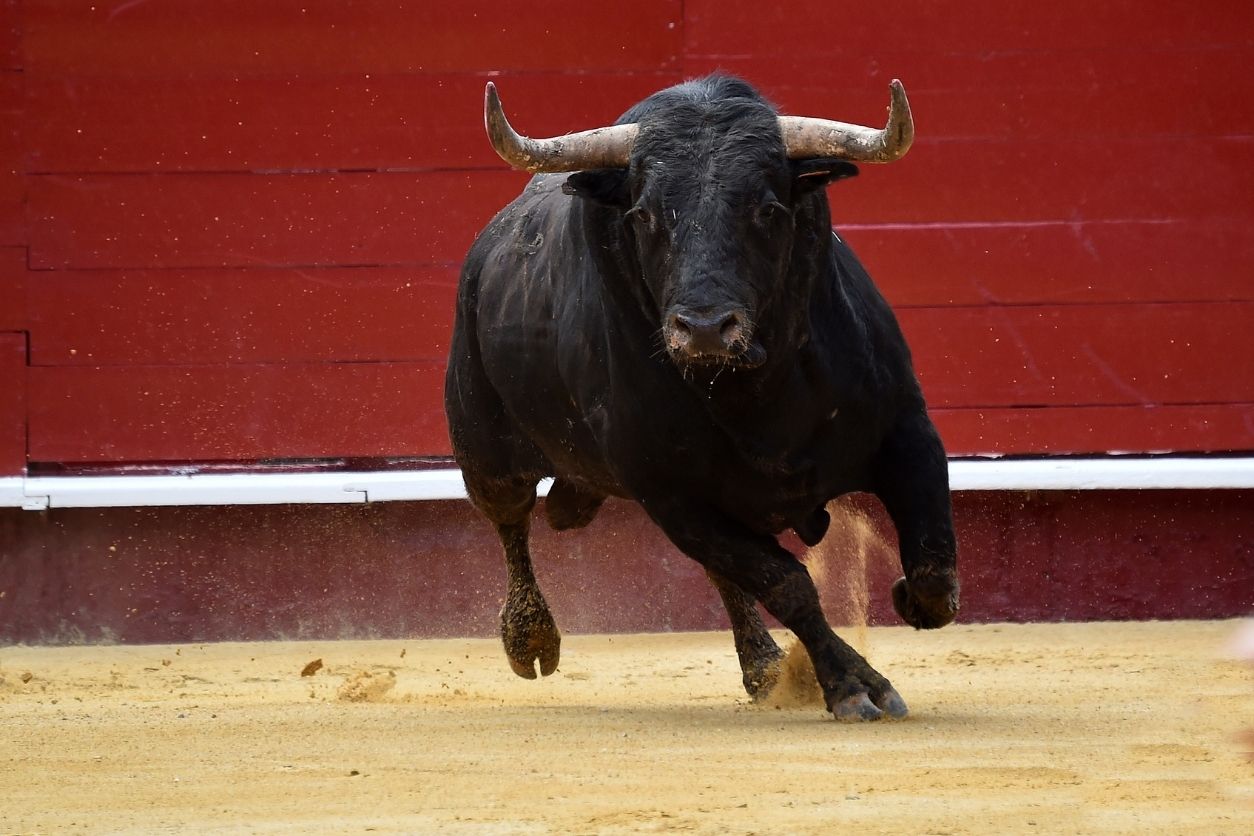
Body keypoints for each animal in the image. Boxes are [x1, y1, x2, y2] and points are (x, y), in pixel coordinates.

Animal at [445, 75, 960, 721]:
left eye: (769, 209)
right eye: (642, 214)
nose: (707, 328)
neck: (756, 391)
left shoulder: (908, 431)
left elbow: (932, 564)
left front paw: (907, 601)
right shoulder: (671, 494)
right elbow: (786, 583)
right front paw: (852, 683)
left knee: (722, 575)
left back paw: (763, 667)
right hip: (485, 449)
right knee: (511, 521)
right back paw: (531, 641)